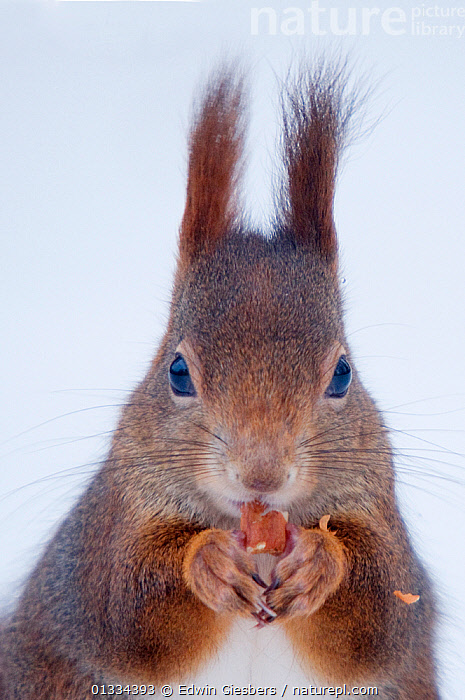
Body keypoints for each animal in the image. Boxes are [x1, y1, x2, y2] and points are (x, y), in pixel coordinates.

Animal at [0, 61, 439, 699]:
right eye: (178, 372)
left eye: (342, 375)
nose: (262, 474)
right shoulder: (98, 544)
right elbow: (125, 606)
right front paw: (205, 561)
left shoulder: (382, 520)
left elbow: (381, 614)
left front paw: (320, 559)